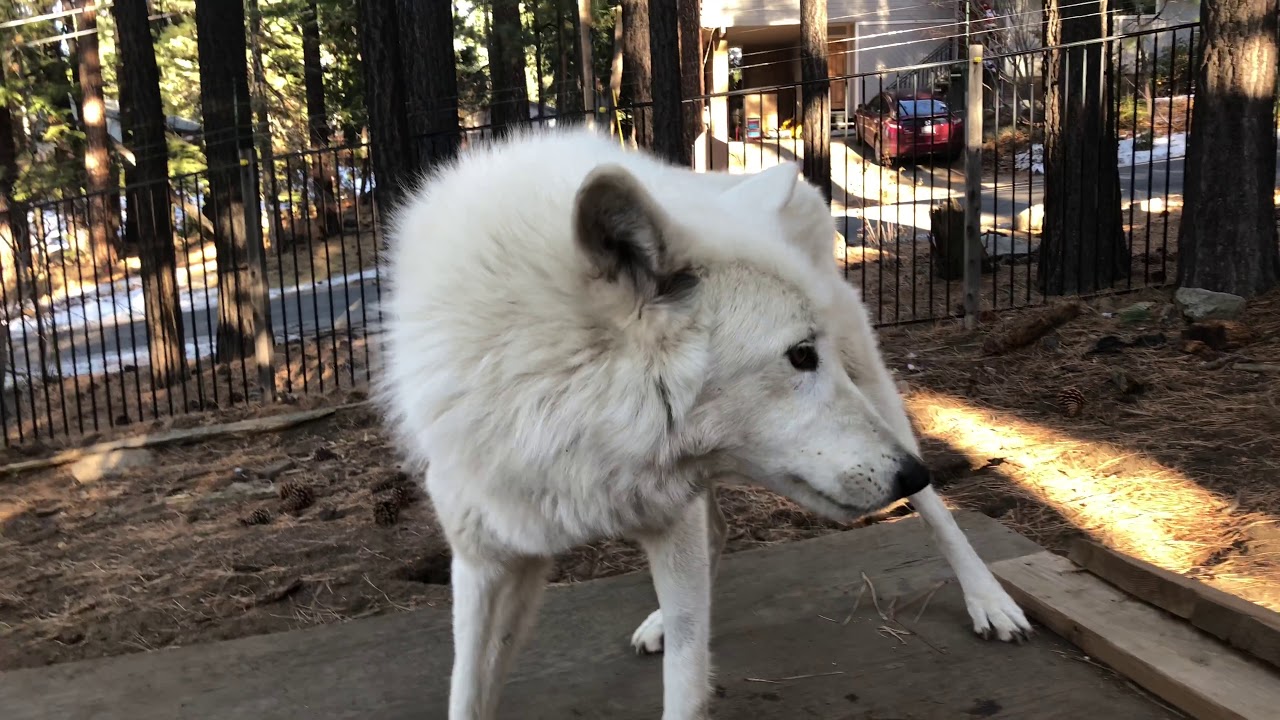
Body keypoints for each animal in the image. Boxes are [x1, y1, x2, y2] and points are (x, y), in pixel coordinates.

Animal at [375, 126, 1031, 720]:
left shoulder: (667, 522)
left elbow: (686, 686)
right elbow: (467, 695)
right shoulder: (485, 563)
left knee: (937, 512)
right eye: (800, 354)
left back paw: (988, 600)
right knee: (716, 532)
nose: (909, 473)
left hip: (873, 388)